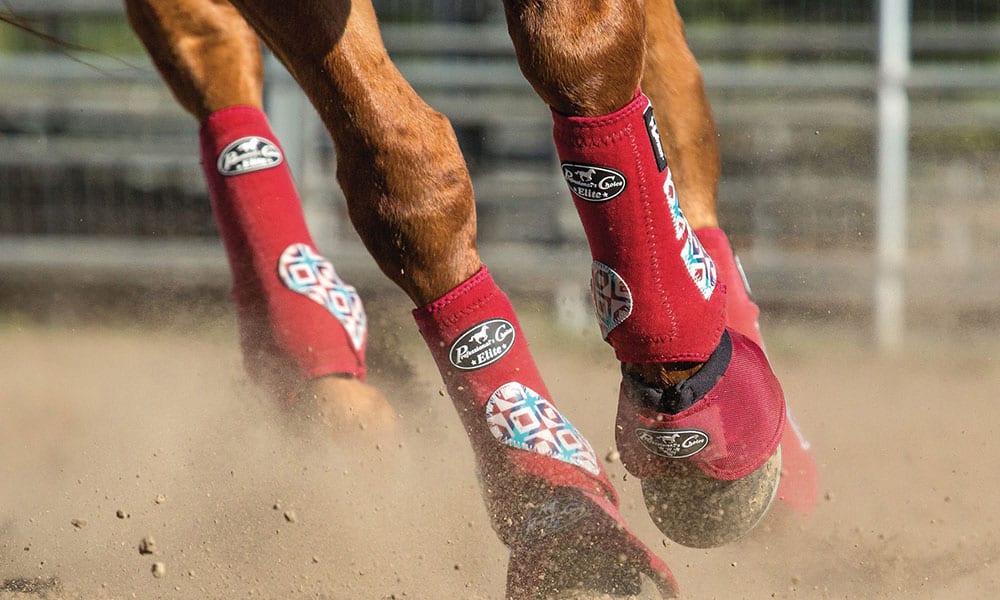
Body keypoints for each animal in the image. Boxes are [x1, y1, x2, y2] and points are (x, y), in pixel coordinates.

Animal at [118, 0, 819, 597]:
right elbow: (402, 174)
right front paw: (565, 529)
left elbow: (584, 54)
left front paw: (690, 396)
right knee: (212, 55)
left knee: (679, 107)